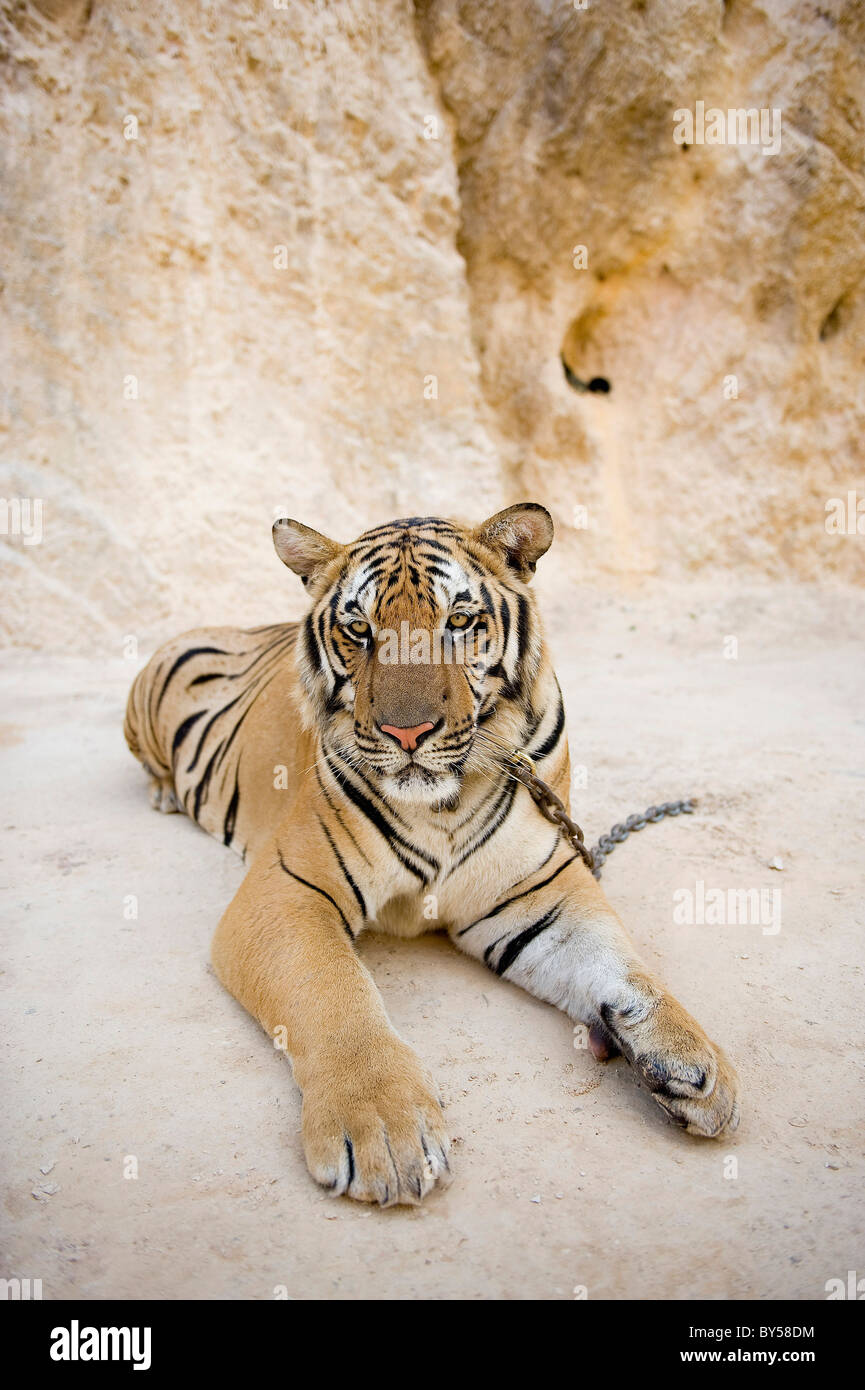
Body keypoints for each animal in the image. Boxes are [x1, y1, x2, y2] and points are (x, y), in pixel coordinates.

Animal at [124, 503, 740, 1206]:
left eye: (460, 623)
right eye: (359, 629)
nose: (408, 733)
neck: (445, 802)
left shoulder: (539, 892)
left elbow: (622, 965)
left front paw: (694, 1061)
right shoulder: (289, 890)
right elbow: (334, 993)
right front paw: (382, 1130)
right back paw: (162, 795)